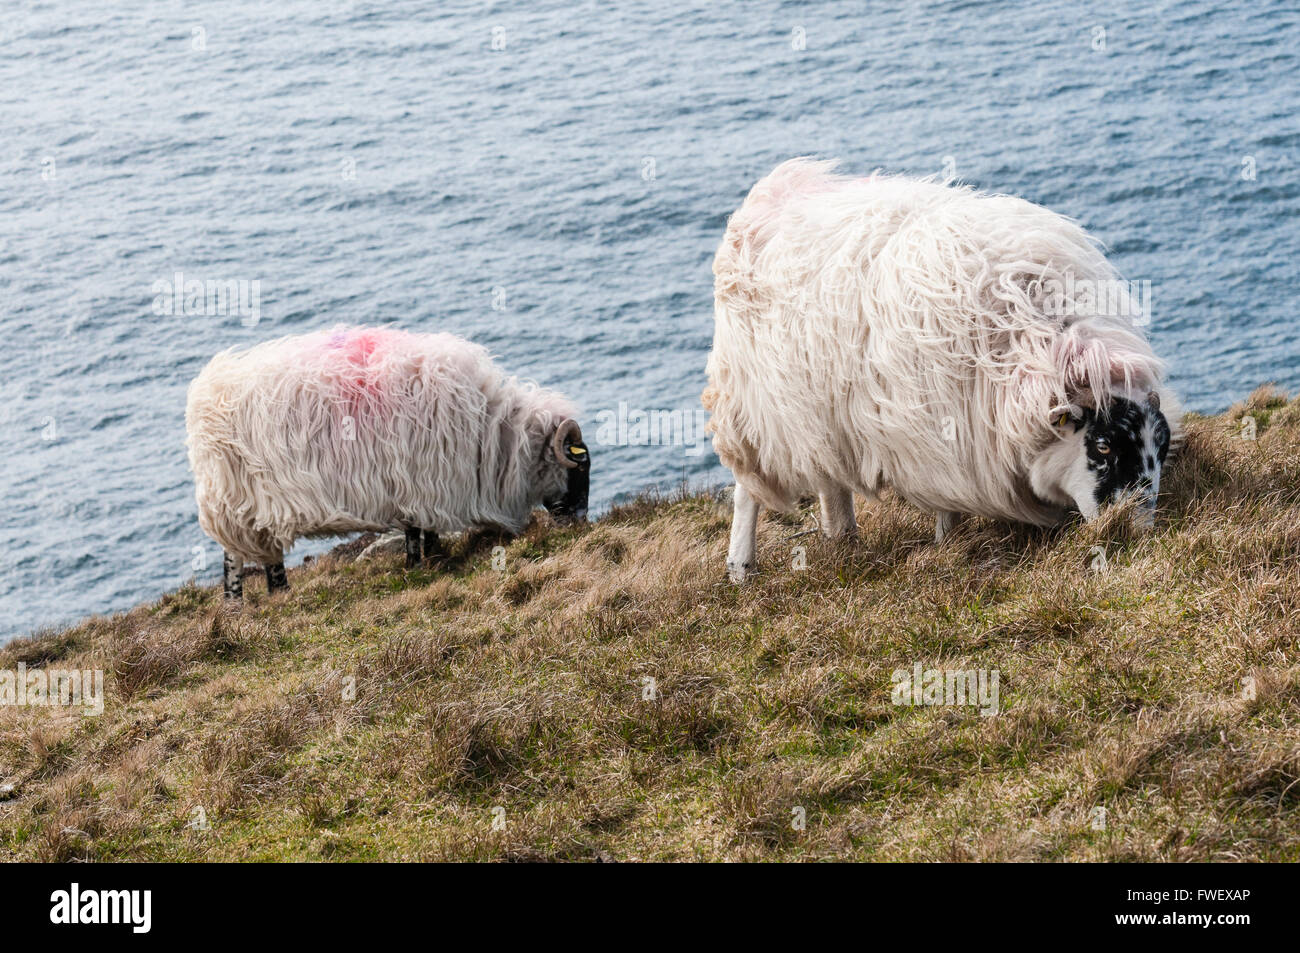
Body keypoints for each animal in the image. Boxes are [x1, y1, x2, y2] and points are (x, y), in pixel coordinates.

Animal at [186, 325, 590, 599]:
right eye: (581, 467)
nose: (580, 523)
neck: (494, 432)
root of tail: (205, 390)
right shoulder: (418, 480)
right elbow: (415, 531)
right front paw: (420, 566)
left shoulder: (421, 485)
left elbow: (422, 529)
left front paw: (433, 557)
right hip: (233, 502)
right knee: (233, 559)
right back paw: (236, 605)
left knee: (267, 553)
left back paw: (279, 593)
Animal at [702, 158, 1177, 582]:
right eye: (1102, 447)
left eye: (1162, 444)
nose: (1137, 534)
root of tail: (769, 193)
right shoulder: (937, 431)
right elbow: (948, 501)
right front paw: (948, 545)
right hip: (753, 402)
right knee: (747, 488)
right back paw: (741, 567)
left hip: (817, 407)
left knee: (829, 478)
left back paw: (844, 539)